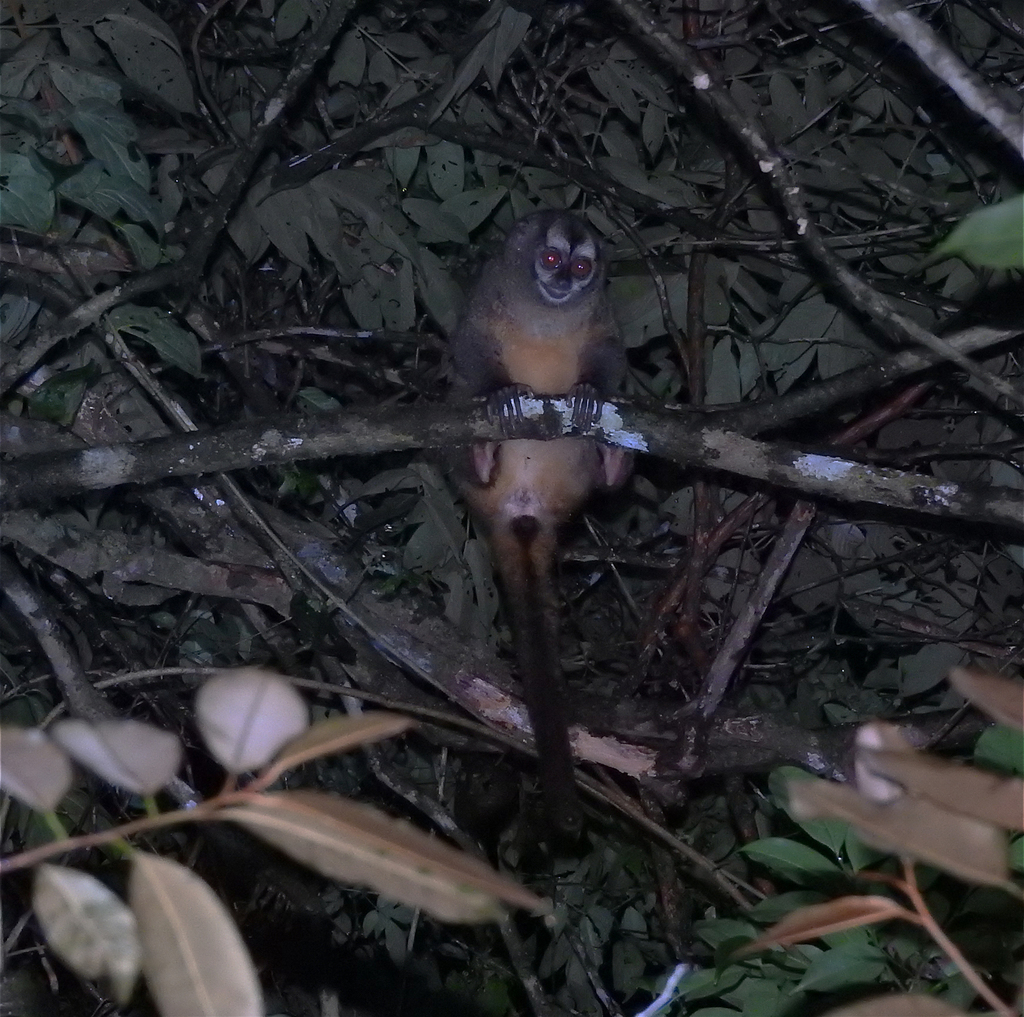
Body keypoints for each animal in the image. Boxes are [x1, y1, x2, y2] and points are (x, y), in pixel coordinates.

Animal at [450, 210, 632, 836]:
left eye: (581, 268)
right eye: (551, 260)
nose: (563, 283)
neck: (547, 314)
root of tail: (523, 511)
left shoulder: (602, 314)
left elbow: (608, 352)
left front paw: (590, 390)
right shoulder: (483, 295)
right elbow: (468, 349)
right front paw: (499, 392)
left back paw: (613, 463)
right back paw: (480, 458)